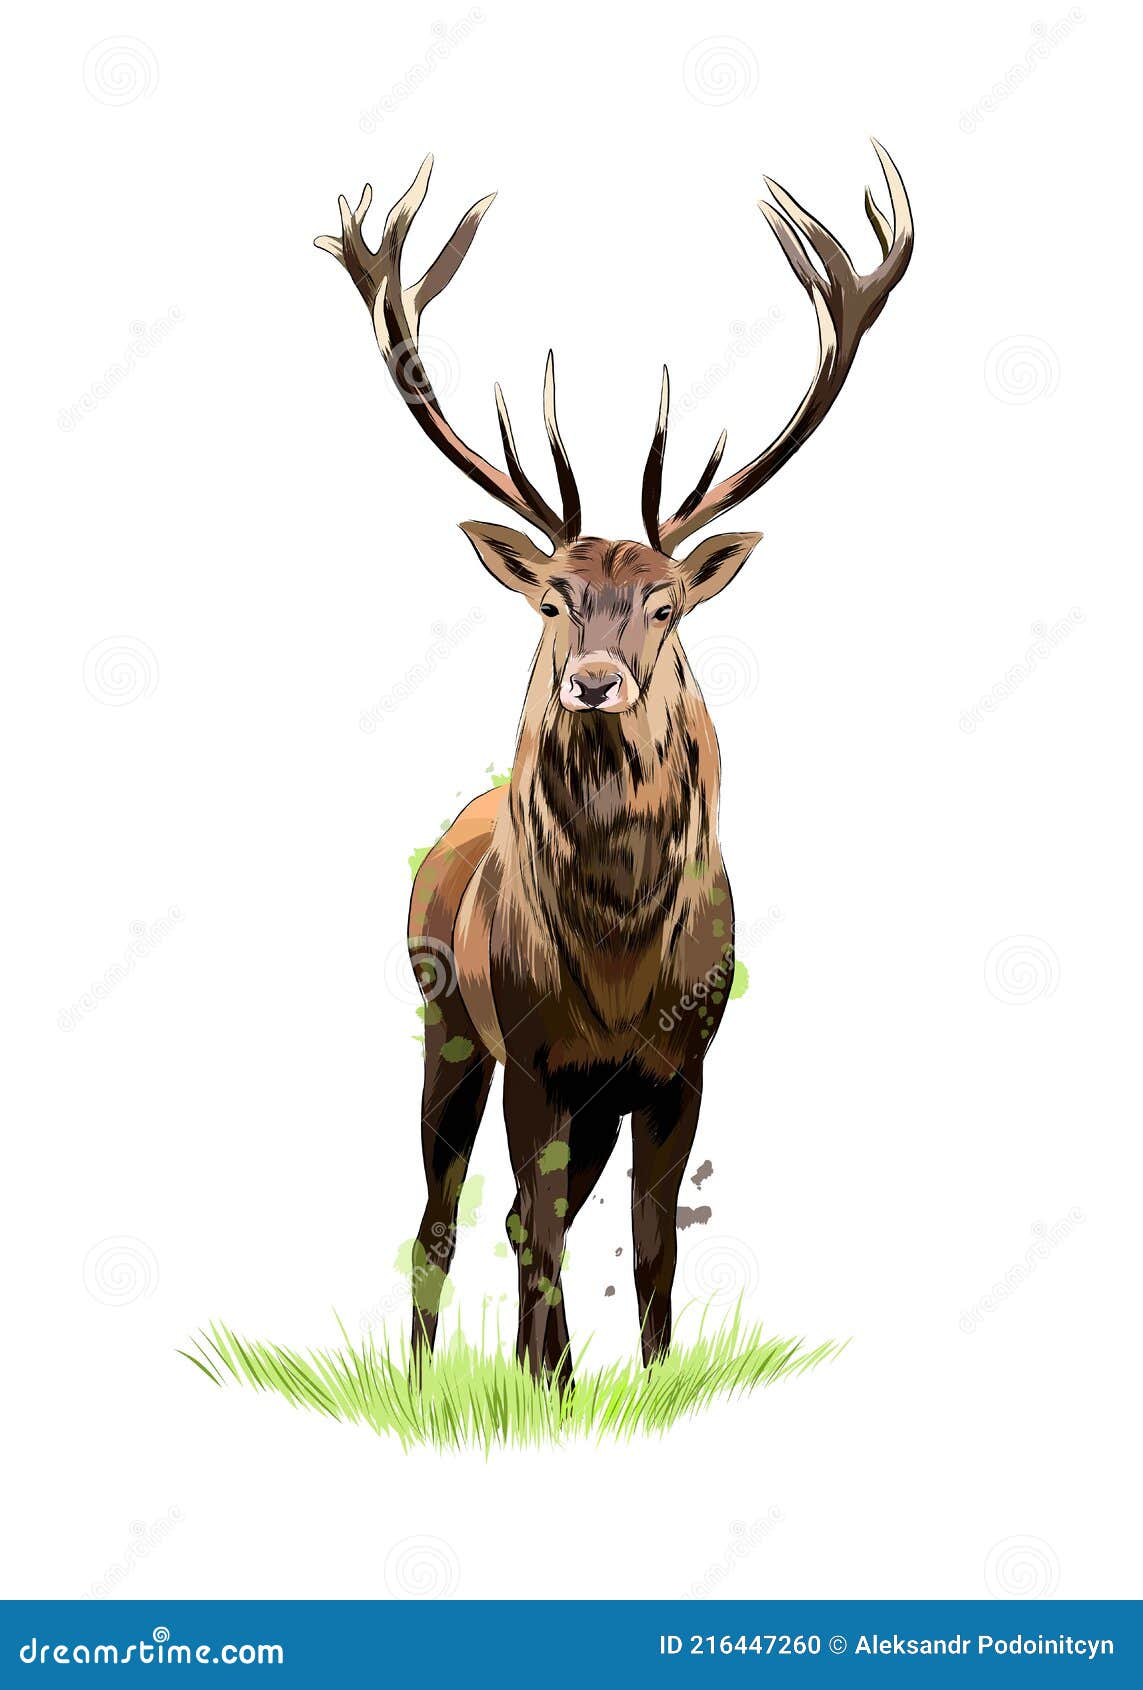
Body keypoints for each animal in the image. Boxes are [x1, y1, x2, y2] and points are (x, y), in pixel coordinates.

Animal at [316, 143, 912, 1386]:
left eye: (668, 599)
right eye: (552, 596)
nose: (594, 680)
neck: (620, 956)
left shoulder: (680, 1062)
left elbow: (651, 1238)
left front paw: (646, 1378)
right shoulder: (534, 1051)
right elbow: (538, 1226)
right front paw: (551, 1385)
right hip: (447, 1023)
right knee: (443, 1215)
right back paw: (426, 1372)